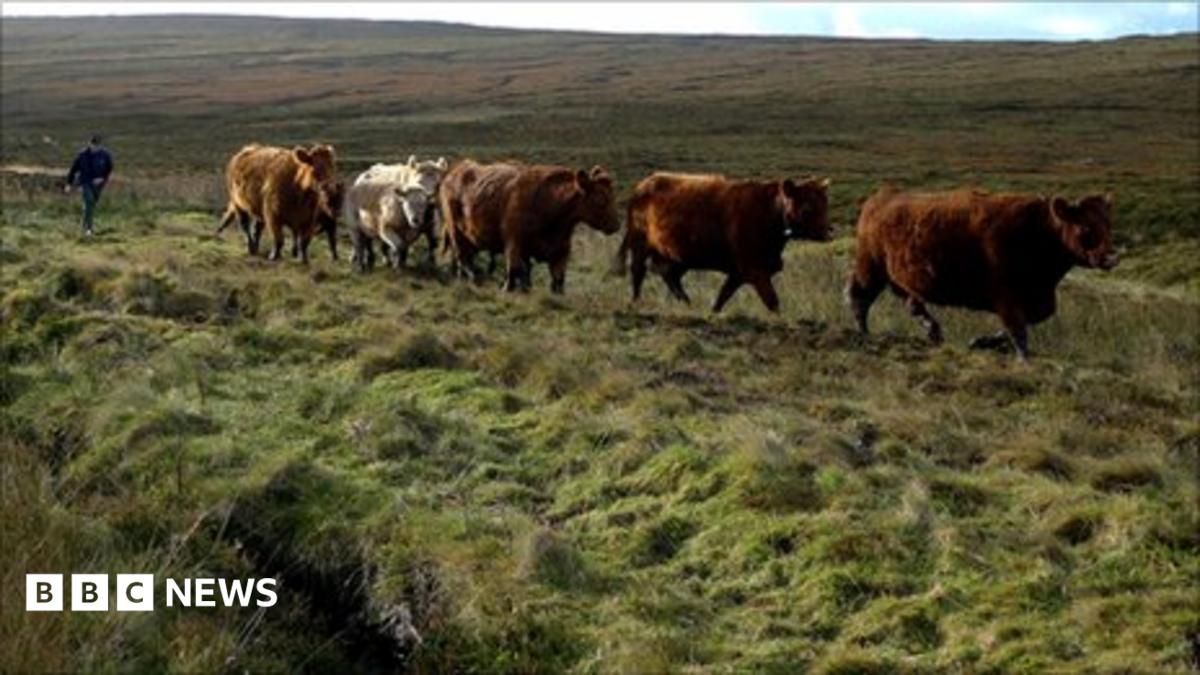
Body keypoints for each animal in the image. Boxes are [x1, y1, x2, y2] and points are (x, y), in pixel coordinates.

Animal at [439, 160, 621, 293]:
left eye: (612, 196)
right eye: (600, 199)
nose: (616, 225)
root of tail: (456, 170)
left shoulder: (561, 251)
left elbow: (557, 281)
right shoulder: (513, 243)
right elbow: (514, 270)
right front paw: (507, 289)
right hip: (456, 232)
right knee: (463, 258)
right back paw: (473, 279)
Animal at [618, 173, 832, 313]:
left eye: (825, 205)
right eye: (806, 208)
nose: (829, 231)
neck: (769, 213)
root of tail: (644, 185)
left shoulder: (738, 272)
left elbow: (722, 296)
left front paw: (712, 313)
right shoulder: (754, 269)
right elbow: (772, 301)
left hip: (679, 256)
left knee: (670, 276)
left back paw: (688, 304)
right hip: (640, 245)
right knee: (638, 272)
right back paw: (635, 303)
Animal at [846, 186, 1119, 359]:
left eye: (1108, 224)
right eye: (1085, 228)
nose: (1110, 257)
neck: (1038, 230)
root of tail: (880, 197)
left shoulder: (1036, 300)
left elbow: (1028, 322)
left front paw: (981, 342)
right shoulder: (1007, 297)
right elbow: (1018, 330)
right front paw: (1022, 358)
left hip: (901, 277)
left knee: (912, 303)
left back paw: (933, 331)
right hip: (870, 267)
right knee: (859, 297)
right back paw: (863, 334)